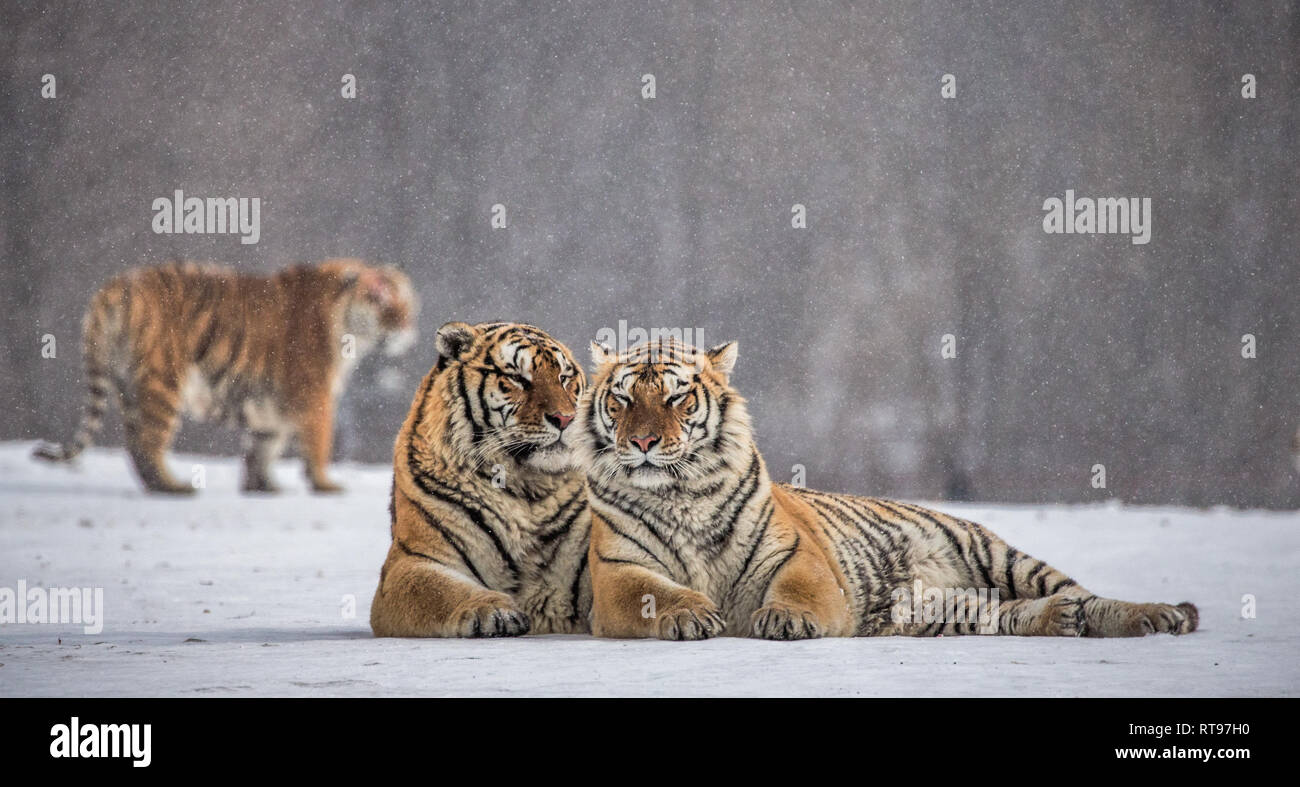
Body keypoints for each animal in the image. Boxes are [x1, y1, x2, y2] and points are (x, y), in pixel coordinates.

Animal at [33, 259, 418, 495]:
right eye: (382, 301)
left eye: (406, 304)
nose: (406, 328)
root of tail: (116, 286)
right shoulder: (314, 394)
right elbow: (317, 443)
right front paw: (325, 485)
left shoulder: (270, 404)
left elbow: (262, 448)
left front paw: (263, 487)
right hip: (163, 381)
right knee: (148, 443)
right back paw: (175, 488)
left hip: (128, 385)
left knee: (135, 446)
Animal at [369, 321, 592, 637]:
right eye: (517, 378)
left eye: (563, 378)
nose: (565, 419)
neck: (526, 490)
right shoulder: (410, 563)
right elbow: (442, 591)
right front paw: (496, 612)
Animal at [577, 338, 1199, 640]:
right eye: (623, 399)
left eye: (678, 397)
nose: (644, 442)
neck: (678, 493)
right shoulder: (617, 571)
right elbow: (652, 594)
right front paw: (689, 615)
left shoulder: (798, 555)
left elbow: (796, 588)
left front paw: (784, 619)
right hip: (930, 608)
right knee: (1006, 612)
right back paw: (1059, 620)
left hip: (997, 553)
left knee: (1084, 593)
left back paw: (1158, 616)